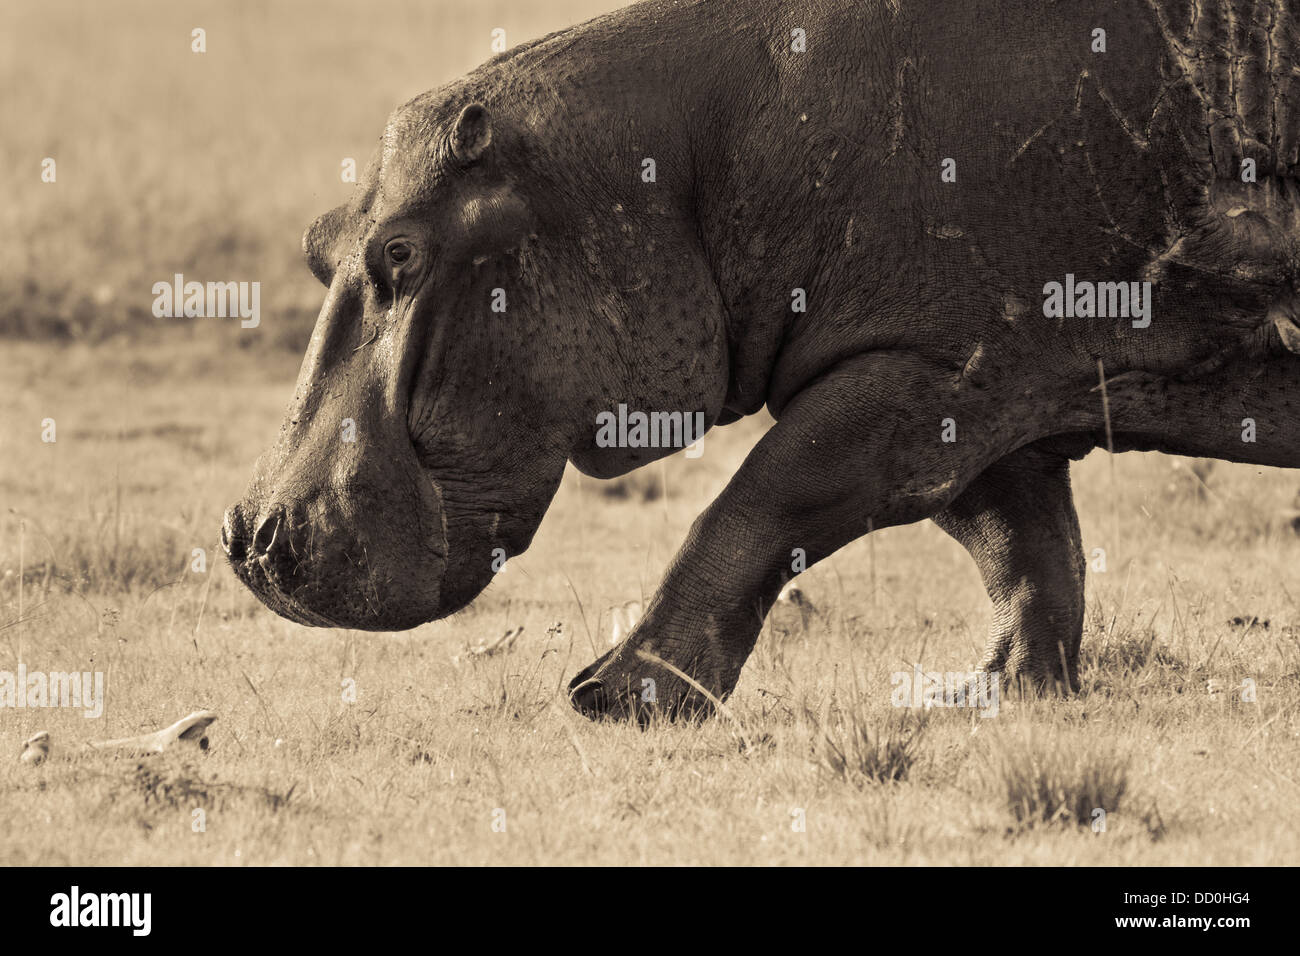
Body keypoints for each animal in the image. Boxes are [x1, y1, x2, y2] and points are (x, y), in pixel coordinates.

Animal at [223, 0, 1300, 721]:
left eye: (400, 253)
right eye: (320, 240)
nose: (250, 538)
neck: (668, 163)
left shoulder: (919, 379)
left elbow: (756, 504)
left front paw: (609, 695)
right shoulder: (975, 380)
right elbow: (1026, 550)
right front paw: (994, 693)